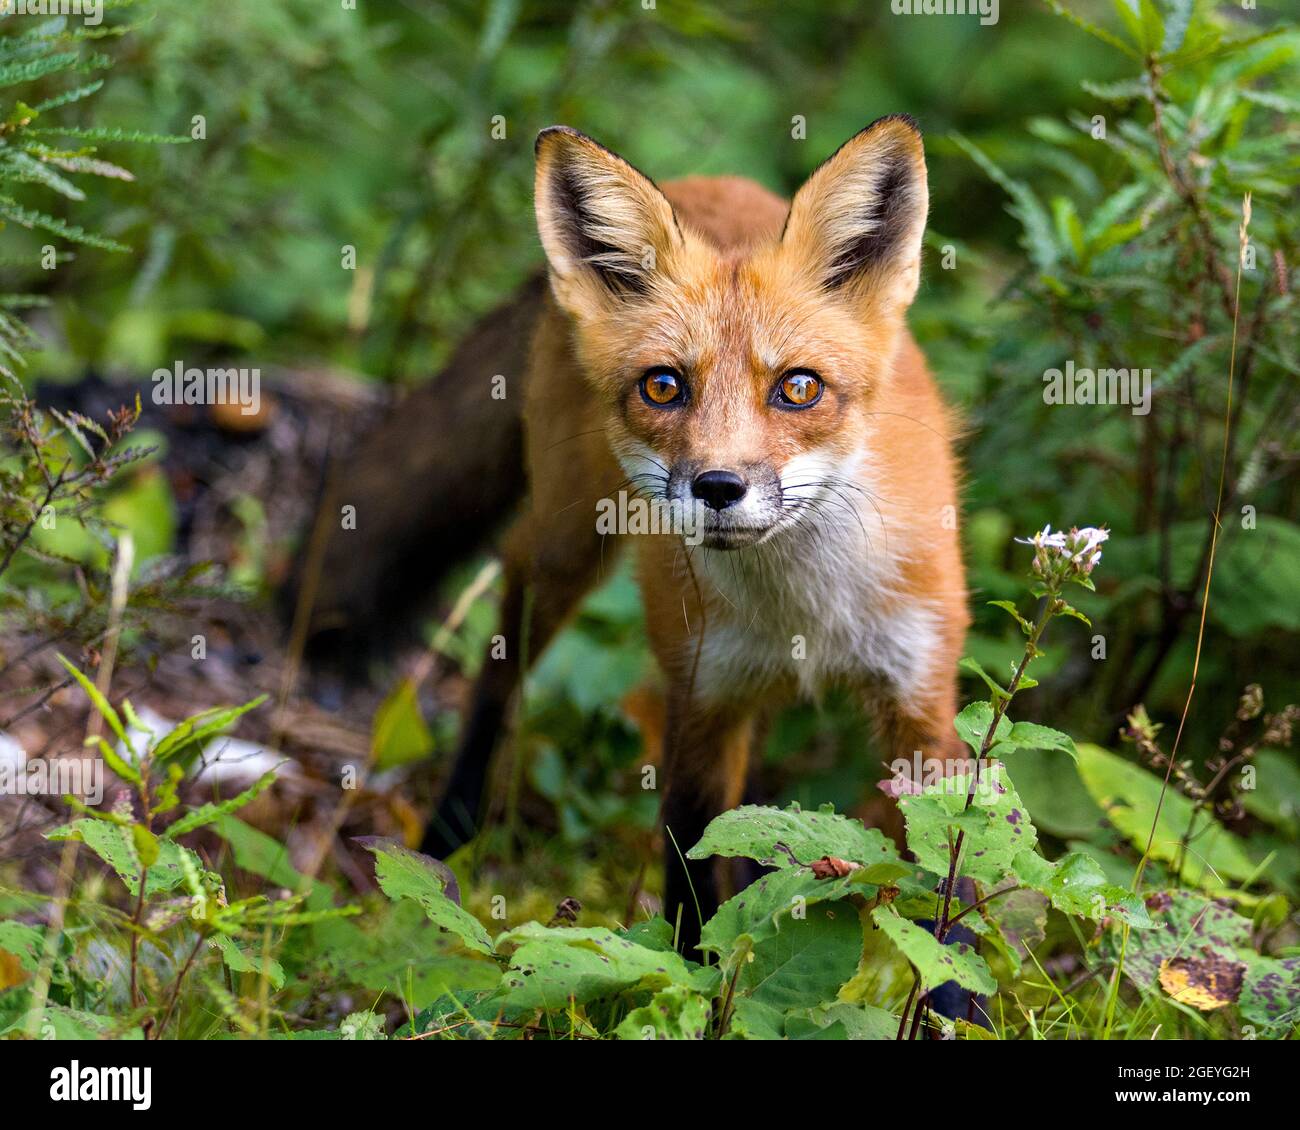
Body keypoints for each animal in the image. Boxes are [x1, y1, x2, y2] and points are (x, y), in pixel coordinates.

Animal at [295, 115, 969, 952]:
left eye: (798, 388)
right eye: (664, 386)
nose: (718, 488)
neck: (807, 610)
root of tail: (695, 182)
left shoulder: (922, 698)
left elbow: (951, 890)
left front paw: (954, 985)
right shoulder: (698, 695)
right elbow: (692, 882)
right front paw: (699, 971)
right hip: (565, 549)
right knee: (501, 667)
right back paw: (450, 832)